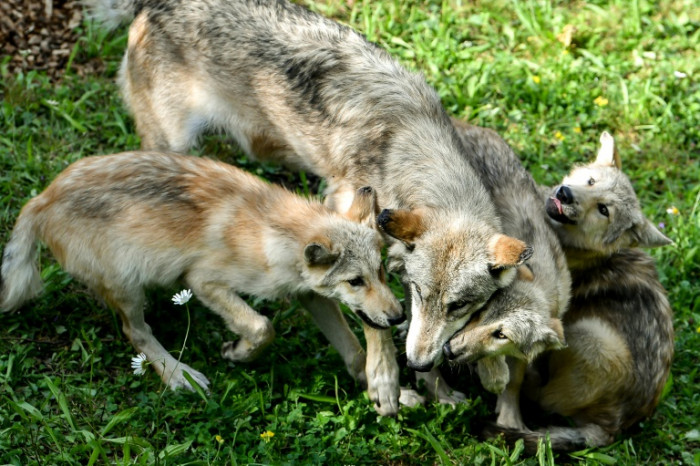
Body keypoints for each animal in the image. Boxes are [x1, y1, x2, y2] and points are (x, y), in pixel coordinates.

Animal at [0, 151, 404, 392]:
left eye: (382, 273)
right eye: (355, 282)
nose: (399, 317)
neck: (272, 235)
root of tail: (41, 199)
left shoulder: (309, 296)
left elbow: (353, 352)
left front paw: (388, 391)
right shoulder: (201, 281)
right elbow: (262, 327)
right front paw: (237, 354)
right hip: (128, 286)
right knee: (136, 332)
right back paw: (179, 375)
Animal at [86, 0, 532, 413]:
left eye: (459, 306)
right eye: (422, 293)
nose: (418, 364)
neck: (410, 147)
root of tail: (151, 5)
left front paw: (436, 389)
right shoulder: (346, 216)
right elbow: (374, 322)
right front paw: (385, 383)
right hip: (171, 149)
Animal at [443, 120, 569, 430]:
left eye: (501, 335)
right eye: (480, 313)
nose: (449, 351)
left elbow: (517, 377)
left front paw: (510, 415)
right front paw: (493, 377)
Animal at [492, 132, 674, 451]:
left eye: (603, 210)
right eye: (590, 181)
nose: (564, 194)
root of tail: (611, 429)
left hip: (591, 337)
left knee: (544, 396)